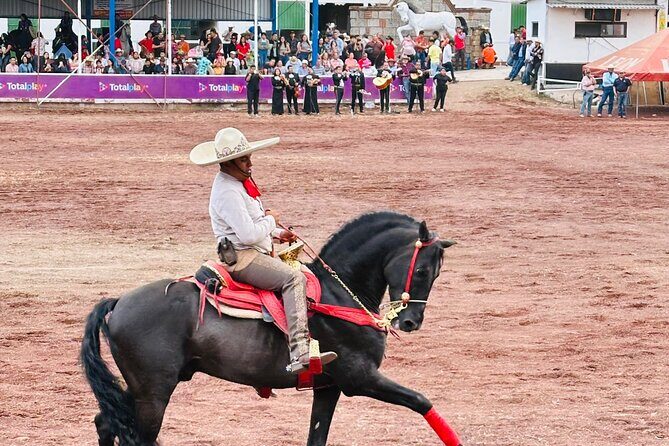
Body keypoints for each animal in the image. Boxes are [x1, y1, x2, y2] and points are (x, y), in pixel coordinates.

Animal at [80, 212, 462, 446]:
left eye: (437, 273)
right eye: (423, 270)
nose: (410, 322)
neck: (338, 294)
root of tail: (118, 302)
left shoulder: (329, 387)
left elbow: (317, 436)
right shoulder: (360, 379)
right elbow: (422, 401)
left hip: (140, 390)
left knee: (106, 422)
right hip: (154, 393)